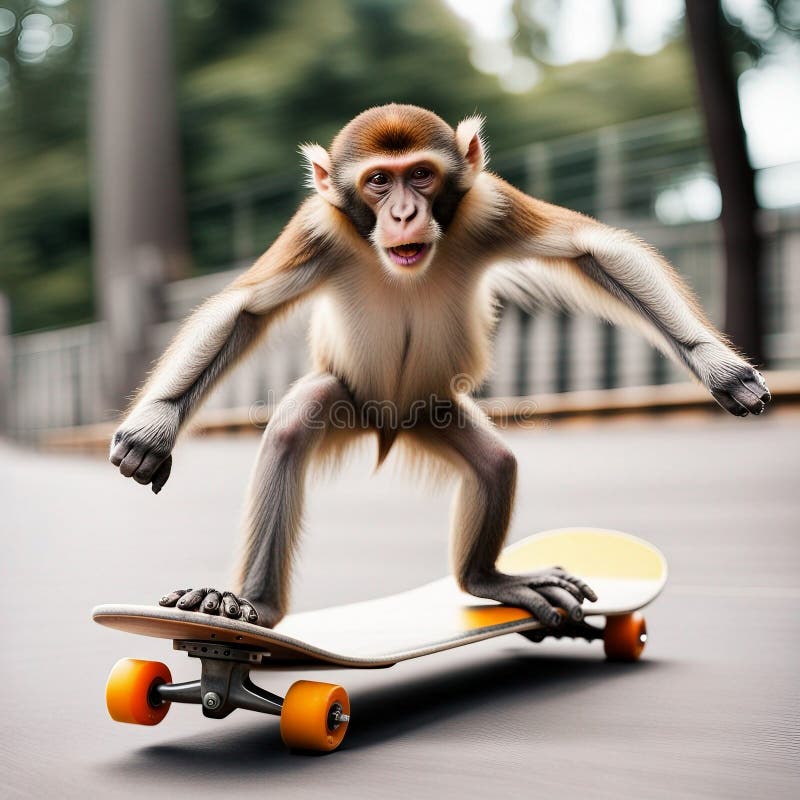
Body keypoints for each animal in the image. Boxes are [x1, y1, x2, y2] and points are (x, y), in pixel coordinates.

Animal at [110, 104, 770, 629]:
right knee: (298, 422)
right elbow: (244, 309)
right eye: (379, 181)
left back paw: (486, 579)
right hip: (355, 401)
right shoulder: (318, 225)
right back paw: (254, 606)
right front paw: (154, 426)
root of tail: (389, 428)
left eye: (421, 175)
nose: (404, 213)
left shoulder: (489, 201)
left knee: (495, 463)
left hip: (433, 412)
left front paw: (718, 367)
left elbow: (592, 250)